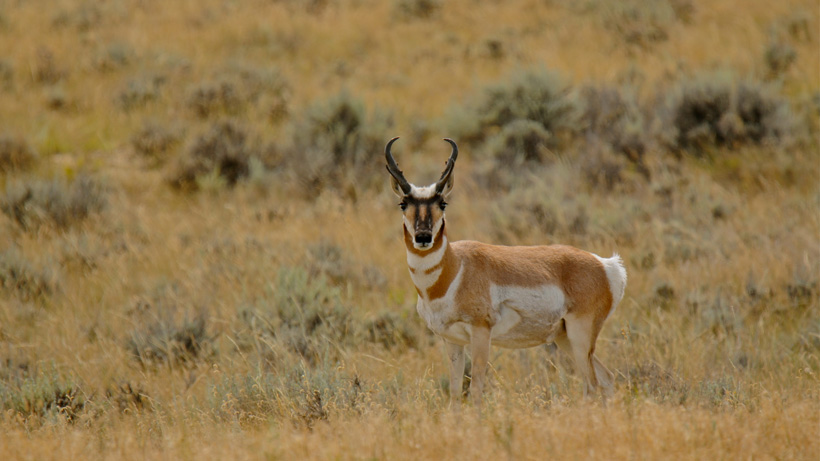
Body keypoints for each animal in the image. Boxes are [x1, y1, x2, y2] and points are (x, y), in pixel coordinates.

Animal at [385, 137, 627, 405]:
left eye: (442, 203)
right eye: (403, 203)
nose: (423, 237)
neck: (455, 269)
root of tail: (607, 265)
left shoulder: (481, 333)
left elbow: (476, 389)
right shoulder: (452, 341)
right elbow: (456, 393)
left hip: (579, 335)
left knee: (591, 385)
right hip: (566, 338)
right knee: (607, 379)